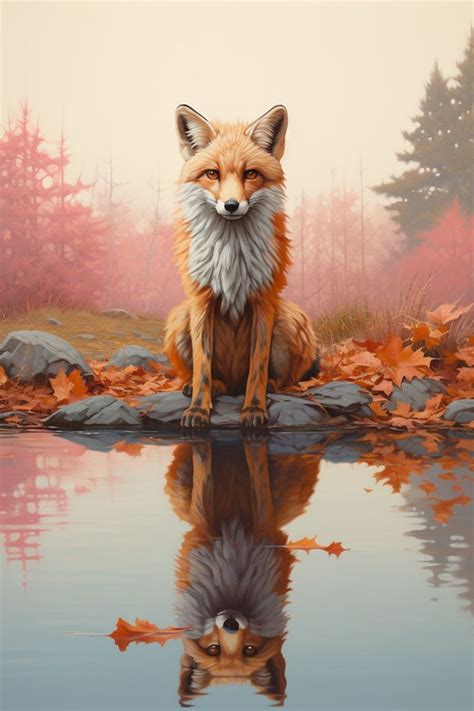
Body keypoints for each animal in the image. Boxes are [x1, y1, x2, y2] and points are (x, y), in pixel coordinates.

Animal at [164, 104, 319, 428]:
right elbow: (203, 365)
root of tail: (233, 385)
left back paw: (270, 386)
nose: (232, 205)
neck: (231, 255)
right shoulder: (201, 300)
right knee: (206, 376)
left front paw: (254, 410)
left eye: (251, 174)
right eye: (213, 174)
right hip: (180, 318)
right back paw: (204, 387)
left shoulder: (263, 300)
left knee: (282, 380)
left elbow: (258, 366)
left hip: (288, 320)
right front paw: (198, 409)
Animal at [164, 434, 321, 705]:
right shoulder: (203, 519)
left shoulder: (263, 520)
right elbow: (203, 469)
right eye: (213, 649)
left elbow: (256, 467)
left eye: (249, 649)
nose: (231, 623)